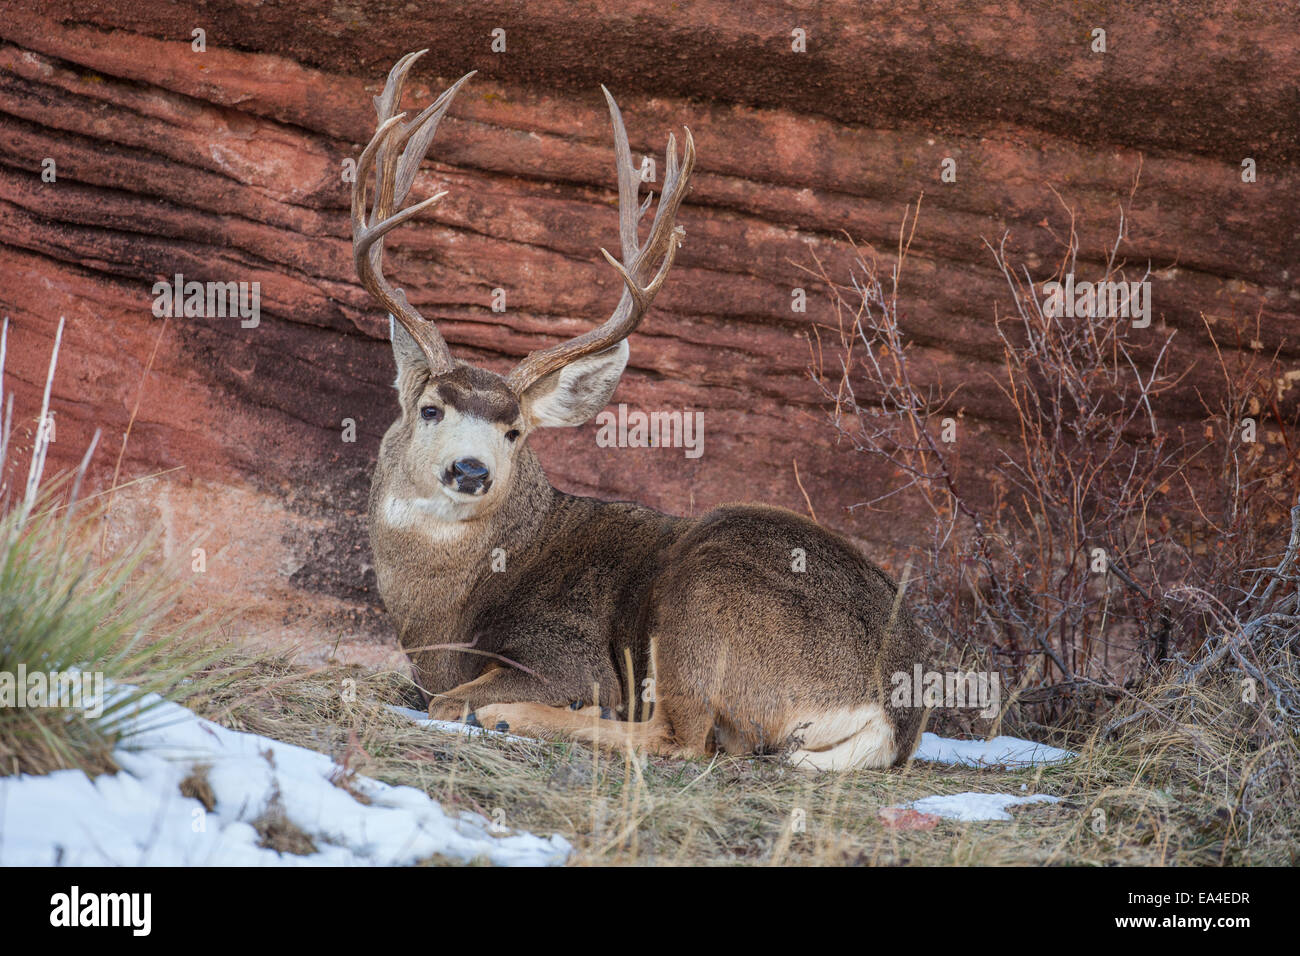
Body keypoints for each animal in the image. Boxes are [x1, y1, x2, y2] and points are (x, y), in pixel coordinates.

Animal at [353, 51, 929, 771]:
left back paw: (522, 717)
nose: (470, 470)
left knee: (683, 739)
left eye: (514, 432)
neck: (442, 615)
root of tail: (889, 713)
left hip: (706, 590)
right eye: (430, 408)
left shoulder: (568, 651)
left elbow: (447, 698)